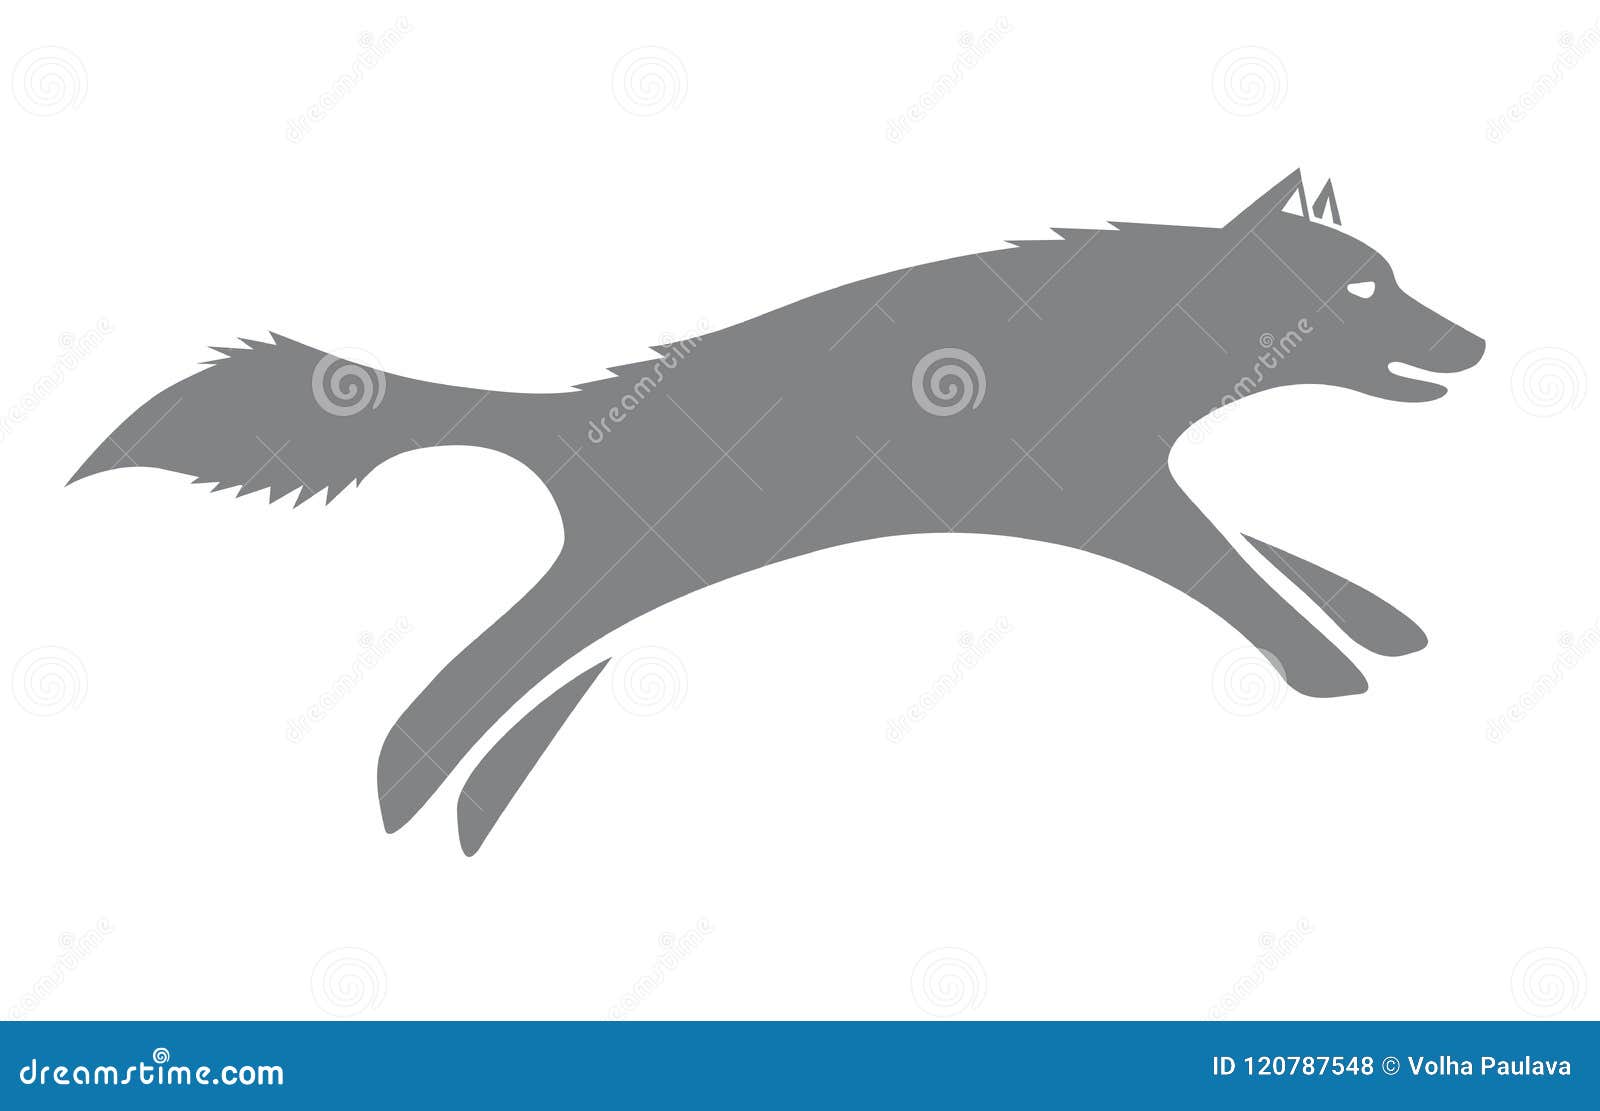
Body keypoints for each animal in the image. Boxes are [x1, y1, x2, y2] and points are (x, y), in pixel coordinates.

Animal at [73, 170, 1484, 853]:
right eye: (1364, 287)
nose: (1472, 342)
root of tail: (567, 411)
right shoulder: (1120, 496)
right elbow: (1245, 576)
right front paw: (1329, 668)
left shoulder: (1138, 488)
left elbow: (1269, 553)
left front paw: (1381, 628)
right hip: (618, 578)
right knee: (448, 701)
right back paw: (410, 804)